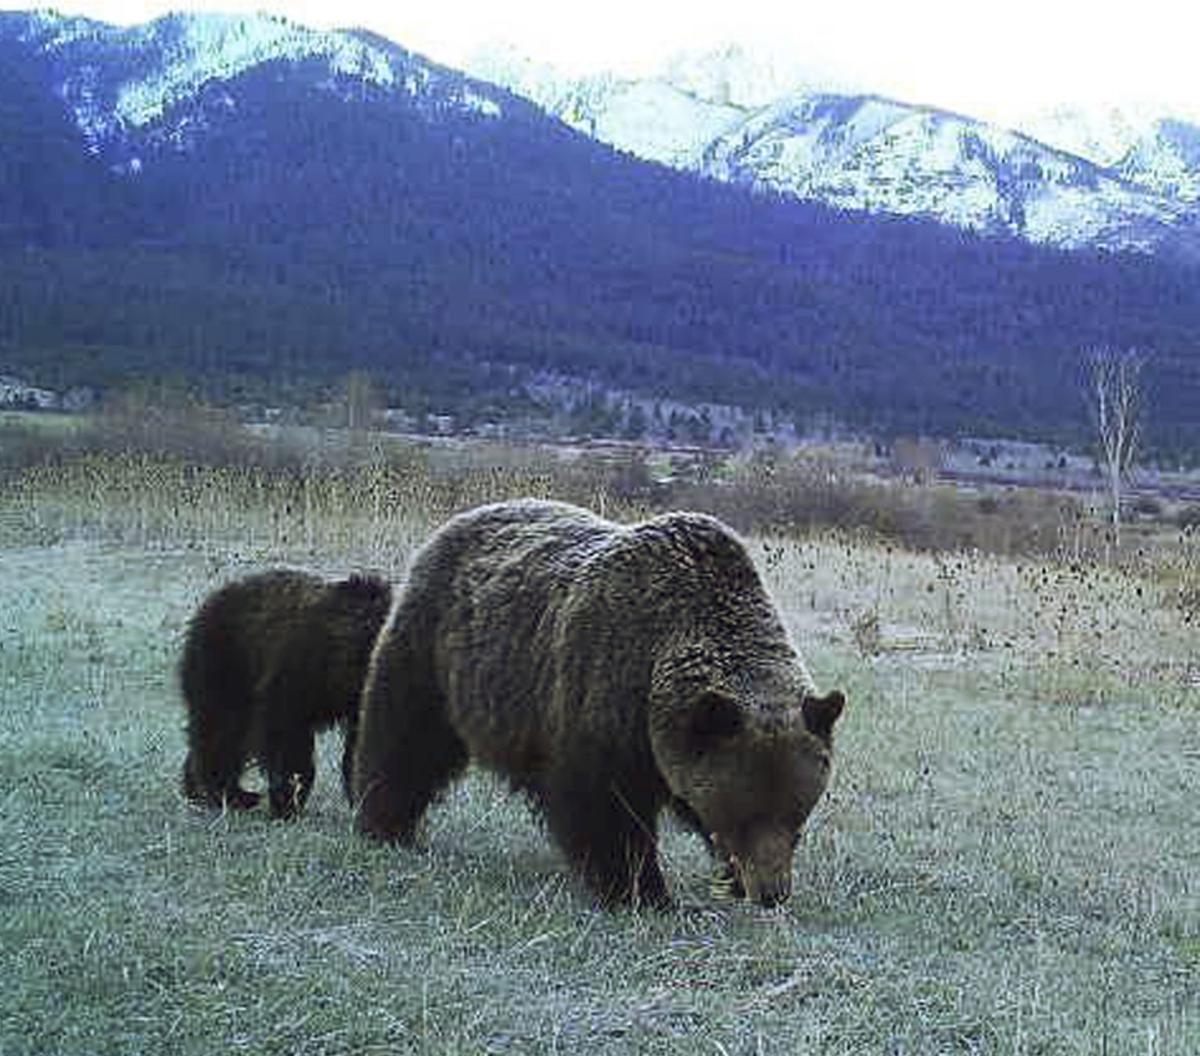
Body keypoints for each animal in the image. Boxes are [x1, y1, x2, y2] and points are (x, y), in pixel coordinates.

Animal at [180, 568, 392, 819]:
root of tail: (208, 603)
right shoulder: (301, 668)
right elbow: (286, 732)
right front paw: (288, 800)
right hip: (227, 661)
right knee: (223, 728)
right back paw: (231, 794)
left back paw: (195, 790)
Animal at [352, 499, 844, 909]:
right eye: (744, 815)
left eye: (798, 818)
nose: (772, 892)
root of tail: (458, 521)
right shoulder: (604, 695)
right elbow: (607, 809)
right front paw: (642, 892)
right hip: (434, 648)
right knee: (406, 739)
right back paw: (385, 823)